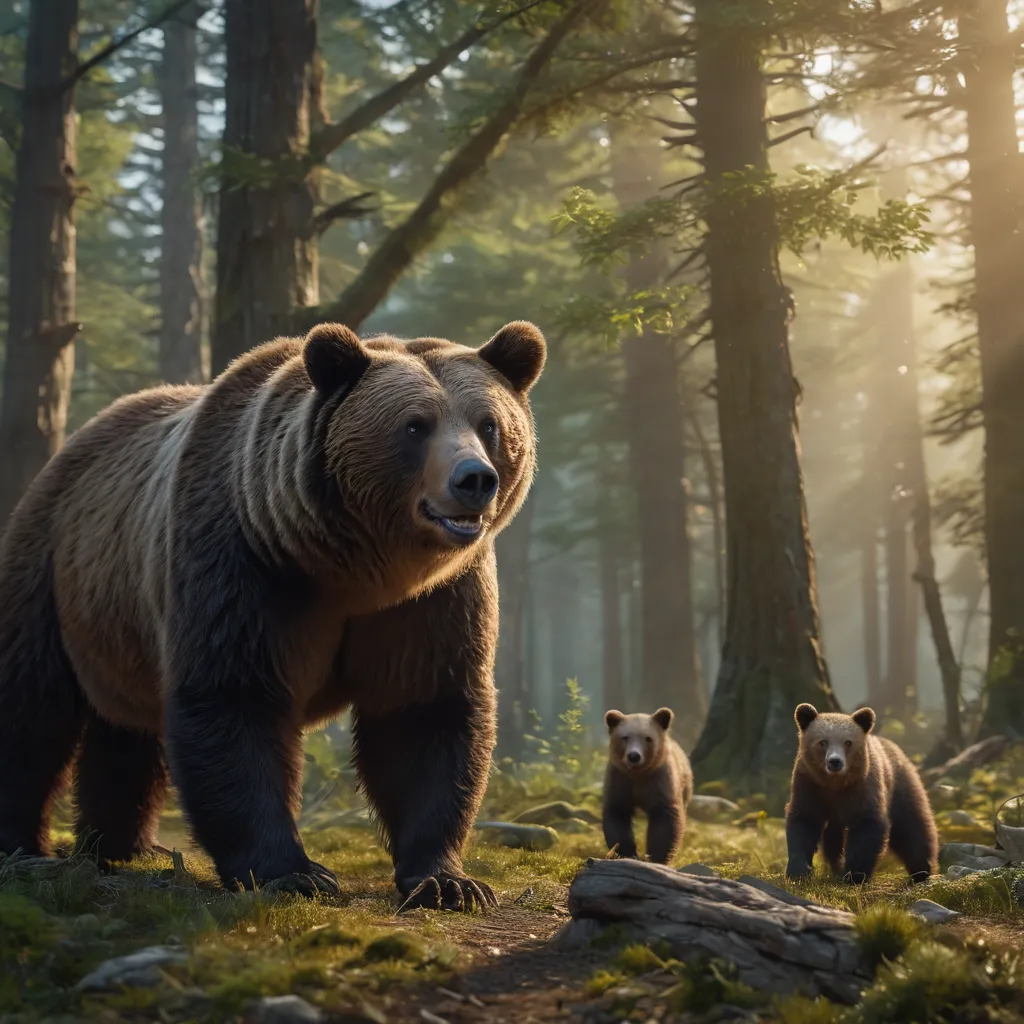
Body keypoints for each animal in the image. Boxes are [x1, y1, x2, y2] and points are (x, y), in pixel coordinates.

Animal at [0, 319, 546, 912]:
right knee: (32, 707)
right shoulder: (244, 562)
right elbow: (234, 698)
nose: (474, 479)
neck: (353, 570)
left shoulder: (429, 602)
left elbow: (422, 711)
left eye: (488, 424)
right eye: (414, 425)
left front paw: (447, 881)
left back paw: (122, 846)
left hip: (116, 622)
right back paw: (24, 847)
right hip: (51, 574)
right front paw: (293, 872)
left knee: (125, 730)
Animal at [602, 708, 693, 865]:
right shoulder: (620, 778)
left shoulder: (659, 780)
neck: (638, 774)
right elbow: (618, 812)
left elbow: (664, 817)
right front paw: (626, 852)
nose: (634, 756)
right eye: (625, 737)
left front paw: (657, 857)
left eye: (648, 738)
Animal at [785, 703, 938, 884]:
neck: (834, 784)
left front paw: (854, 875)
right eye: (822, 742)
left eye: (848, 742)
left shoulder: (863, 787)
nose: (835, 762)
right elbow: (804, 821)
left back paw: (922, 870)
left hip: (900, 786)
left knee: (912, 825)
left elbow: (866, 824)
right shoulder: (809, 784)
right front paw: (798, 871)